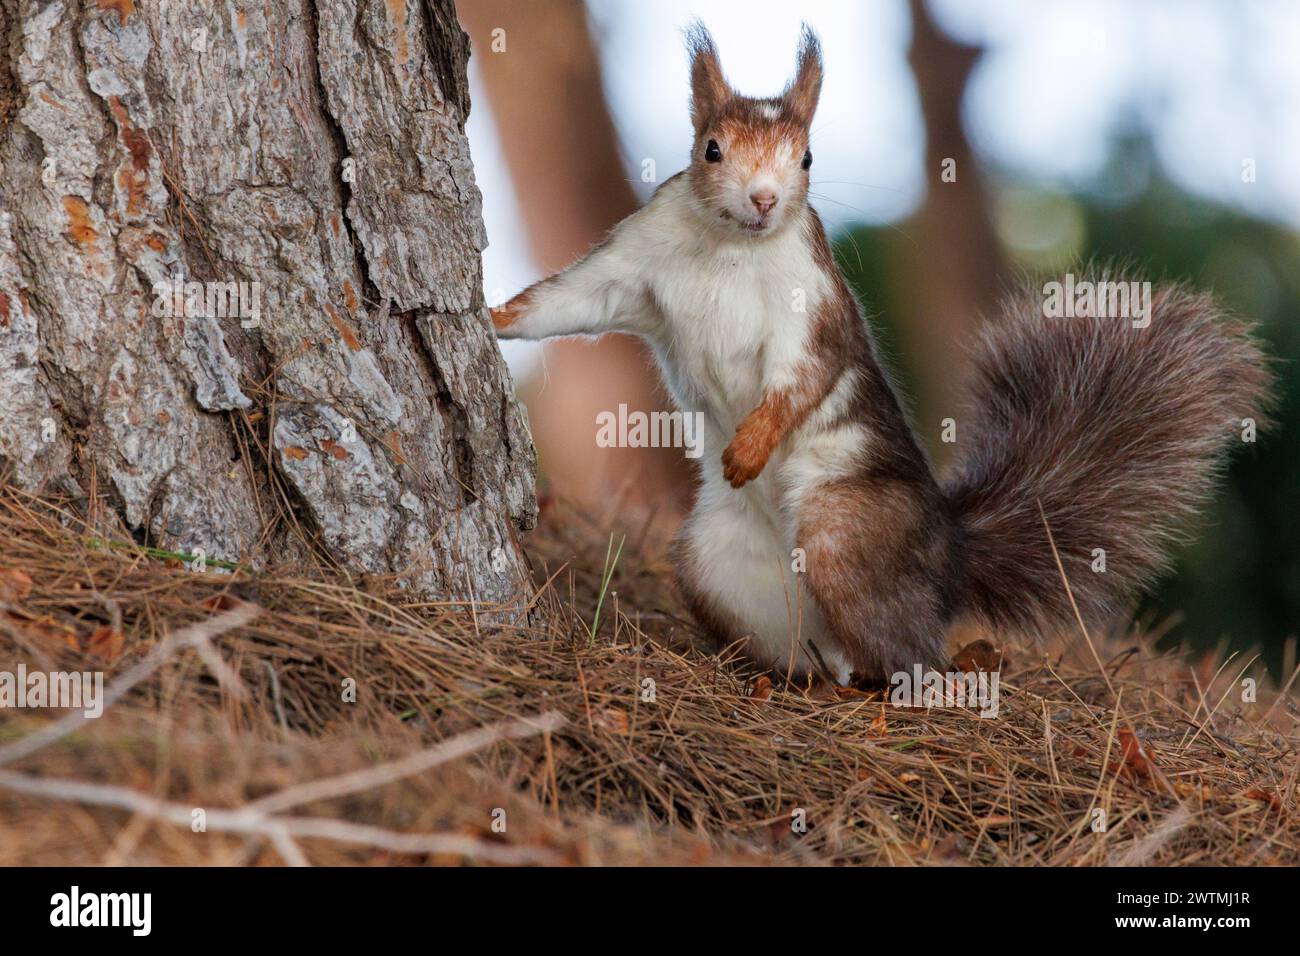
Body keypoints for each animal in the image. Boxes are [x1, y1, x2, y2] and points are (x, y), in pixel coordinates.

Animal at [491, 23, 1272, 685]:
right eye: (711, 148)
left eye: (807, 156)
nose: (765, 199)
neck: (731, 246)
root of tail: (947, 550)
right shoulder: (633, 264)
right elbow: (570, 301)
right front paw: (494, 314)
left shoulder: (811, 309)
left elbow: (803, 377)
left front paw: (748, 449)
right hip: (717, 565)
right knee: (829, 653)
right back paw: (788, 673)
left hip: (845, 529)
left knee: (909, 649)